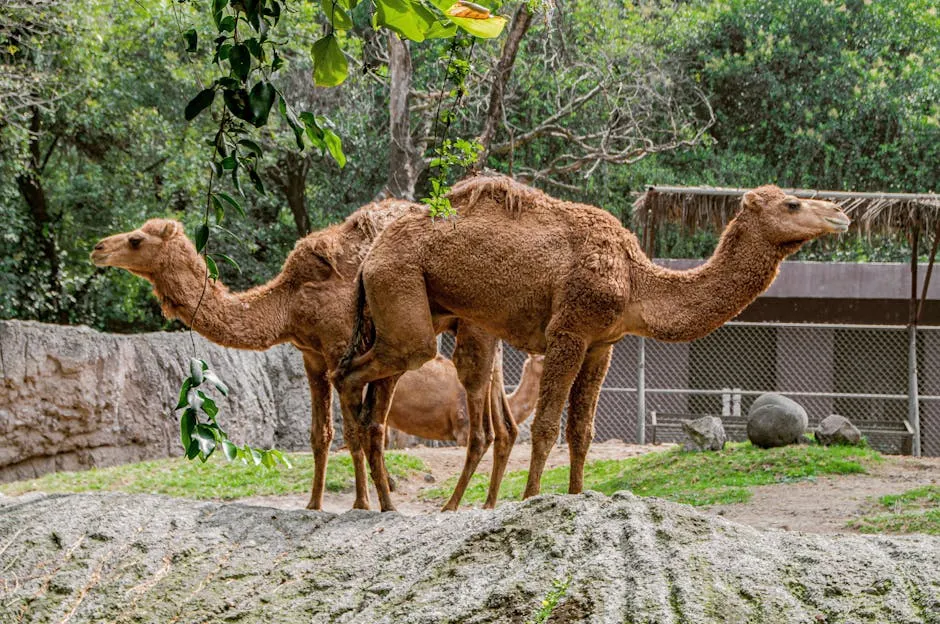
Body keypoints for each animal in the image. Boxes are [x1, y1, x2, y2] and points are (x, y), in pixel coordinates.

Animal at [91, 205, 520, 512]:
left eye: (135, 239)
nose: (97, 248)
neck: (290, 303)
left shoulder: (340, 346)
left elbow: (357, 433)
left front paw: (365, 504)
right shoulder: (311, 356)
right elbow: (321, 435)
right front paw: (314, 505)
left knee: (476, 420)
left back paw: (453, 505)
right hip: (476, 330)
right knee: (504, 419)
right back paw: (491, 502)